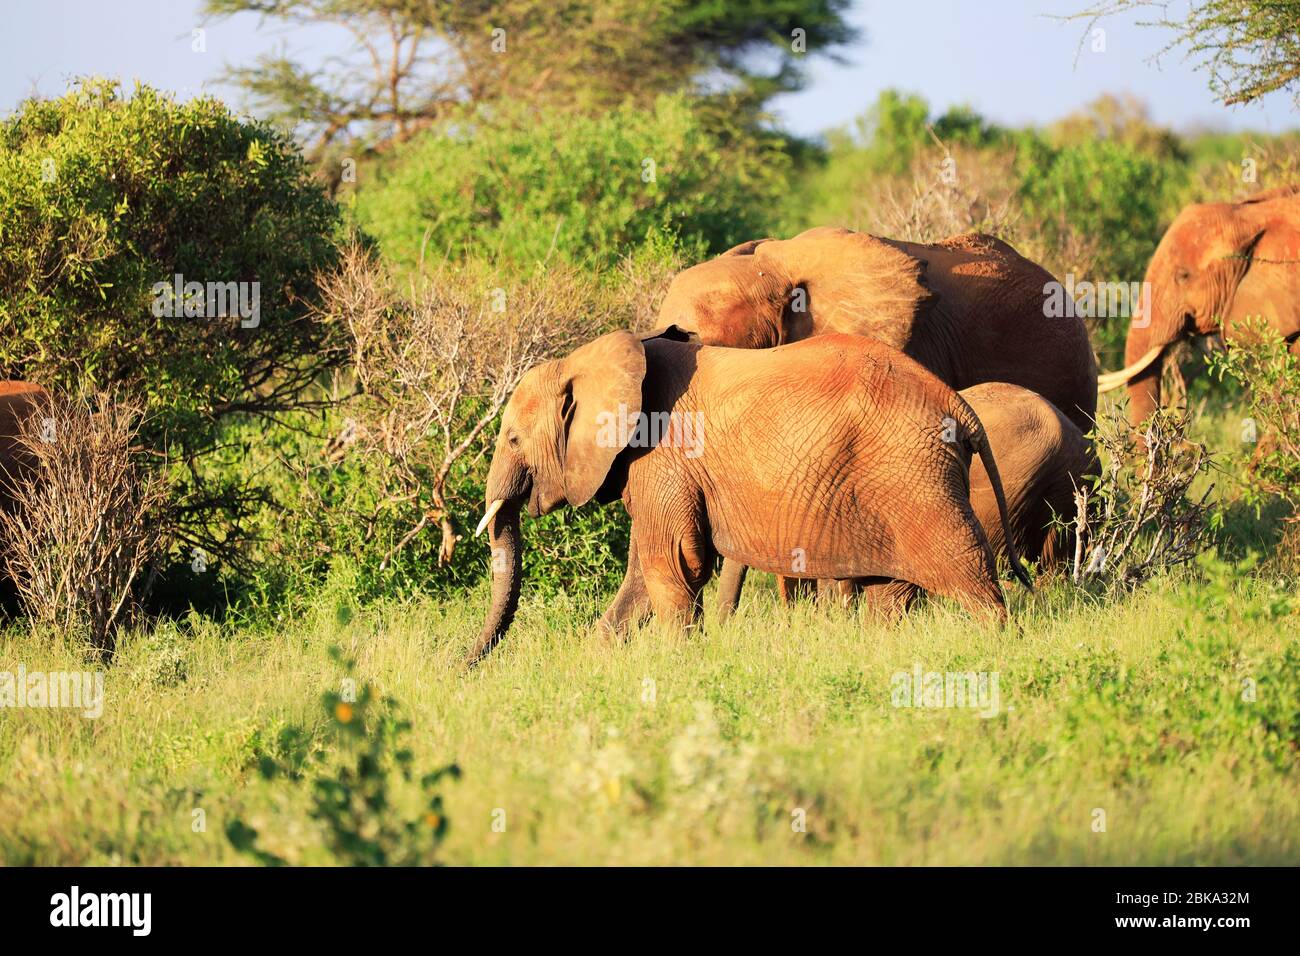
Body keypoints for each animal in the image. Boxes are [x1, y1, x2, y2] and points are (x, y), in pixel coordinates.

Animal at [465, 329, 1032, 665]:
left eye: (512, 439)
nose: (462, 667)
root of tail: (957, 405)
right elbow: (645, 574)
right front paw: (601, 663)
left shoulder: (663, 458)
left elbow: (671, 562)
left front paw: (680, 665)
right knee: (889, 593)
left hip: (917, 478)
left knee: (967, 571)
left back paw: (1000, 649)